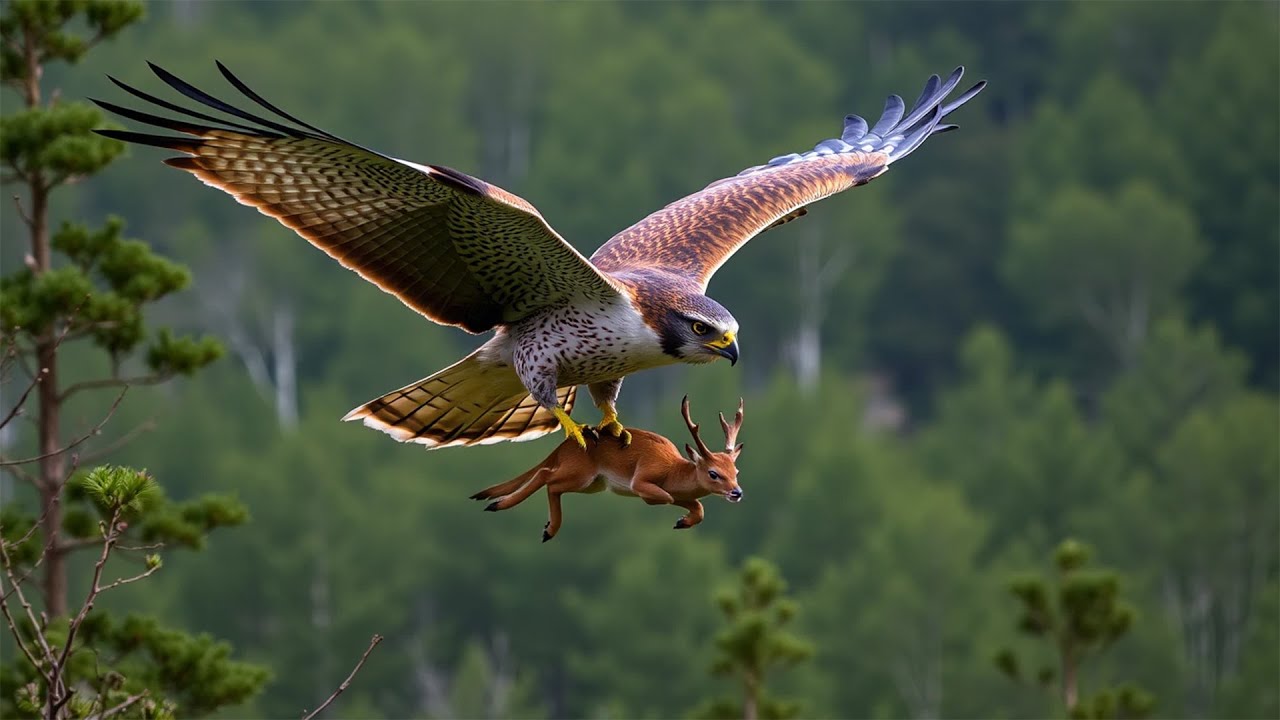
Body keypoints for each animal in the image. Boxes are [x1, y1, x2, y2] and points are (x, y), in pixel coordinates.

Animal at [471, 396, 745, 542]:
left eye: (736, 472)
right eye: (713, 473)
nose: (737, 492)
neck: (673, 470)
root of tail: (561, 447)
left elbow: (698, 507)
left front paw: (682, 522)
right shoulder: (641, 480)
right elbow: (665, 497)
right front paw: (679, 519)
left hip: (592, 484)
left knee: (550, 482)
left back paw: (545, 527)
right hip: (581, 473)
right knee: (546, 476)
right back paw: (503, 507)